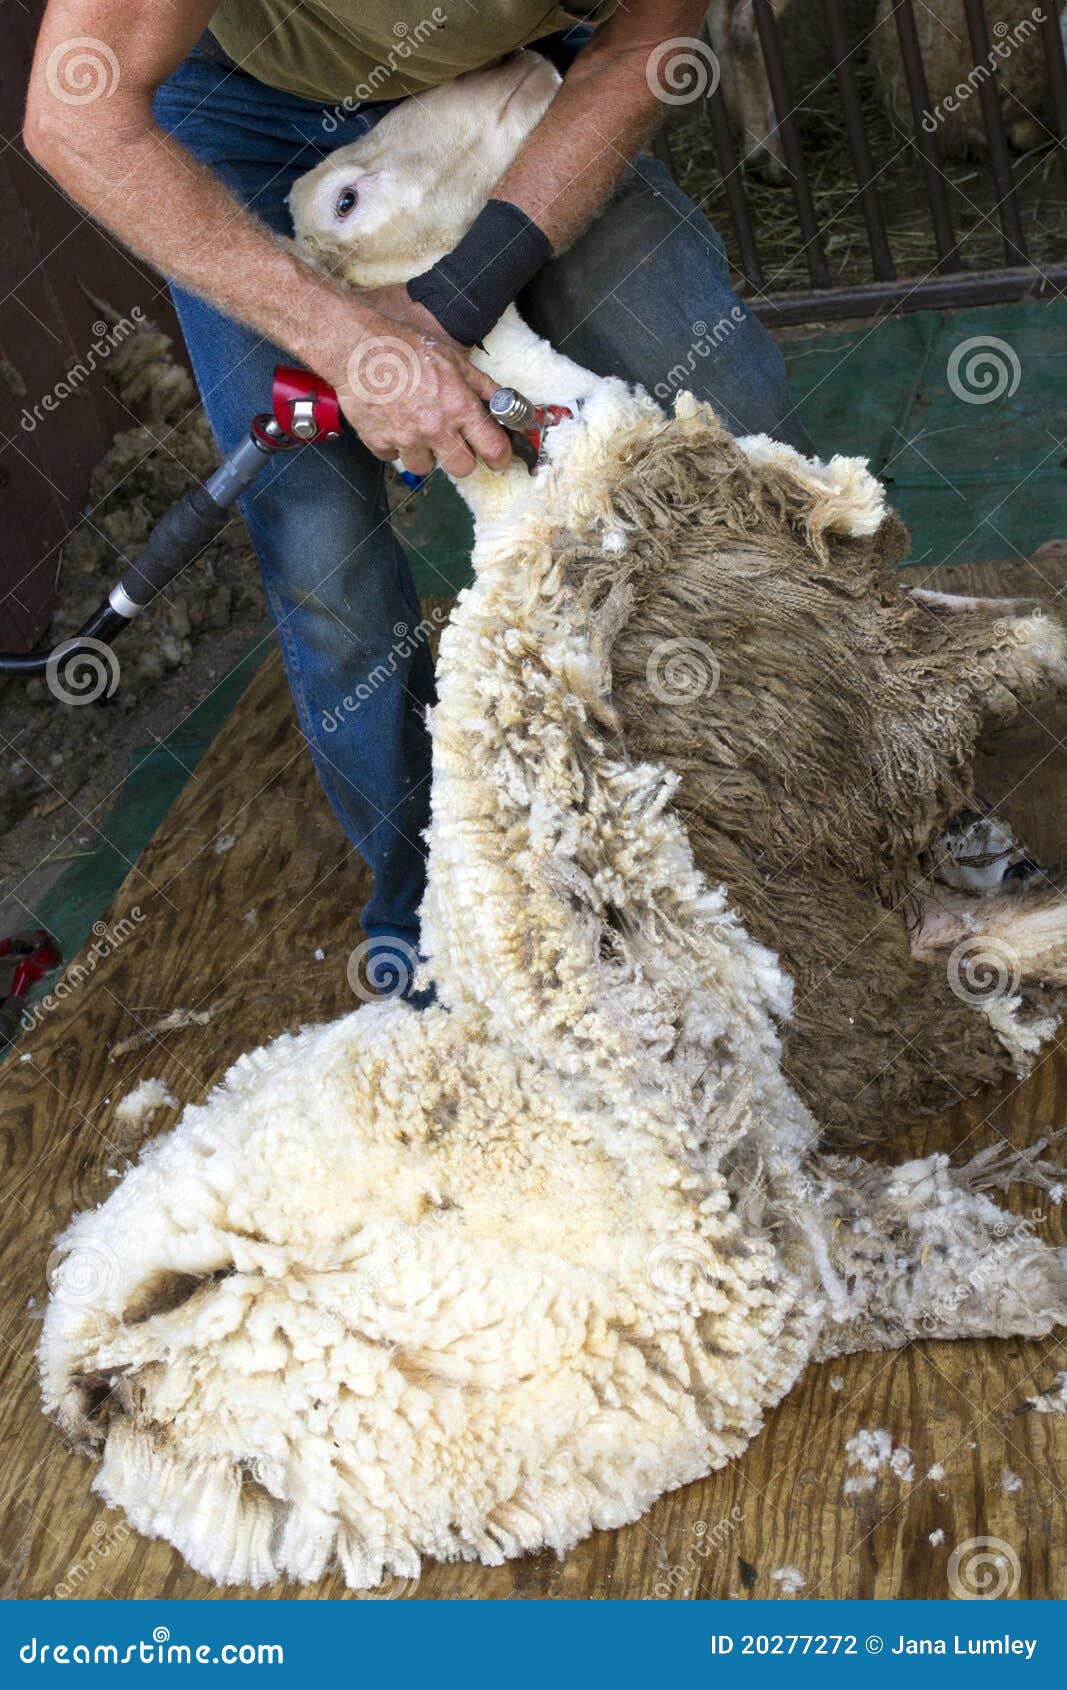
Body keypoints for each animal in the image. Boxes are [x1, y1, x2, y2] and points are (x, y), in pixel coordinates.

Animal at [38, 51, 1067, 1593]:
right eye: (346, 197)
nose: (532, 65)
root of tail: (112, 1371)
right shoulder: (848, 658)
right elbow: (1002, 641)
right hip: (691, 1304)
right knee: (882, 1206)